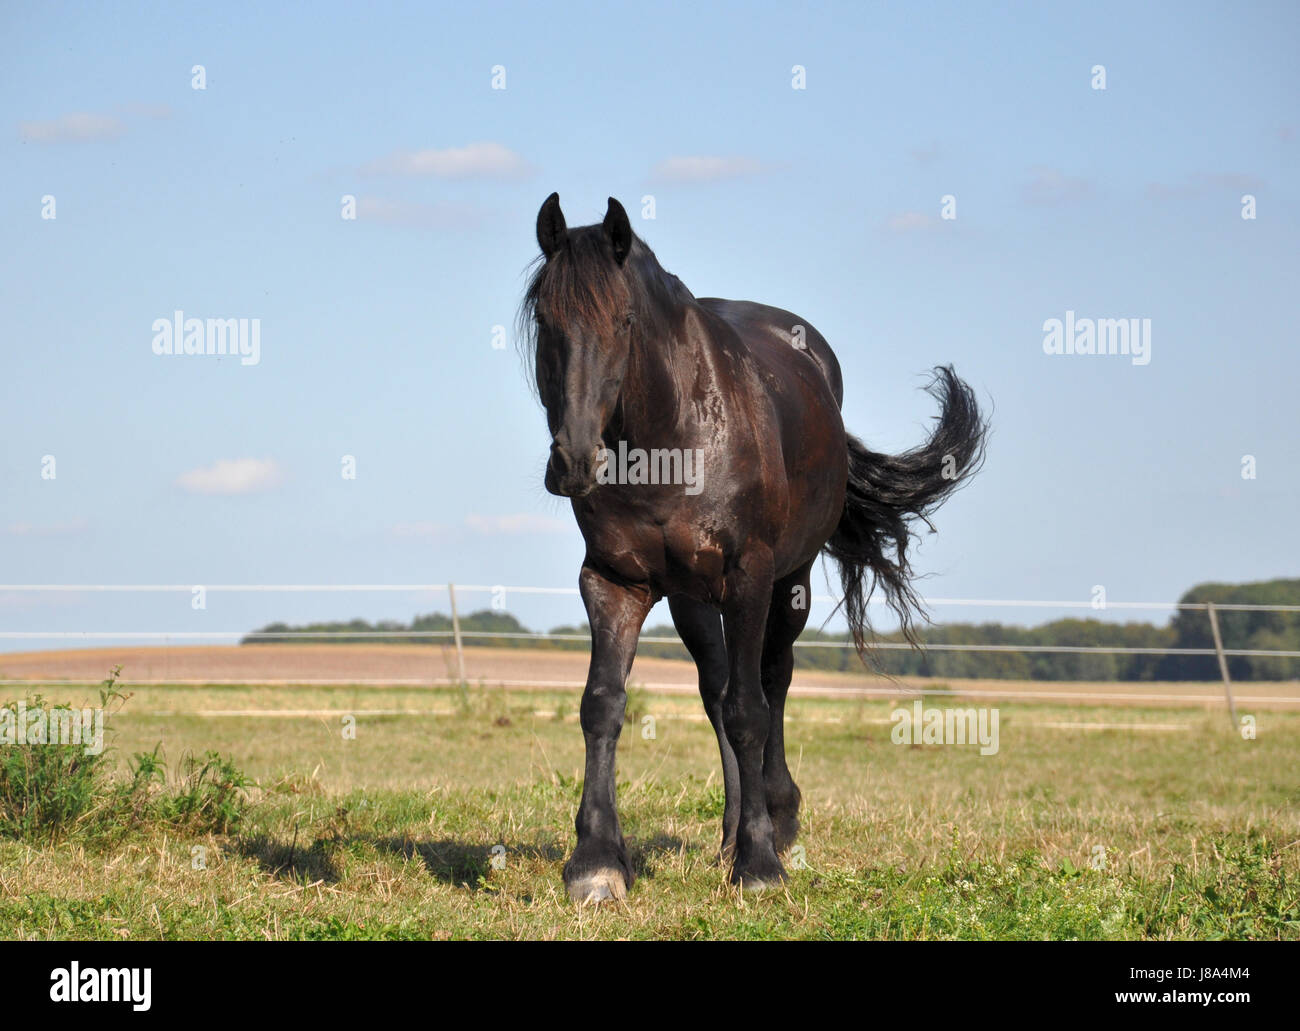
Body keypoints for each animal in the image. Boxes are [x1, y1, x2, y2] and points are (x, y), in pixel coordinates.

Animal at [520, 194, 986, 901]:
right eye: (546, 320)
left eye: (624, 321)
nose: (574, 461)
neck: (674, 442)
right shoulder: (613, 581)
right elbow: (603, 703)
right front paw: (596, 861)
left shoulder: (749, 577)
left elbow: (751, 710)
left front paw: (762, 863)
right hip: (690, 600)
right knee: (717, 691)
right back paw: (730, 832)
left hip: (789, 583)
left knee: (771, 680)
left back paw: (777, 819)